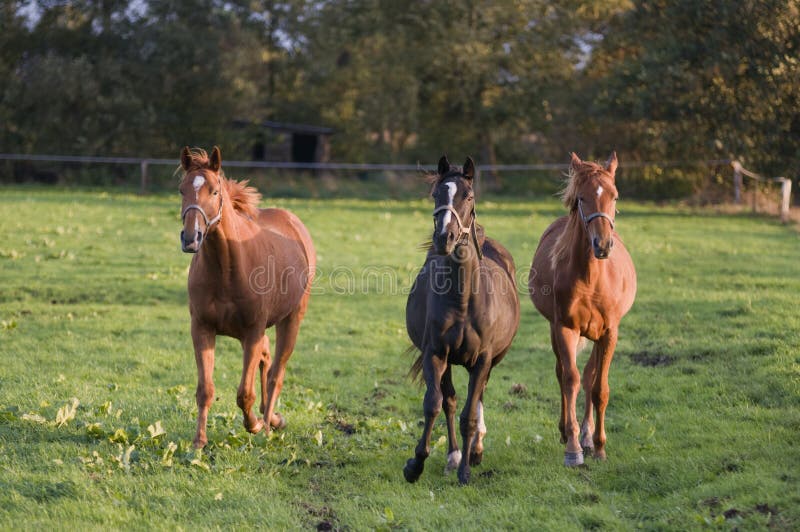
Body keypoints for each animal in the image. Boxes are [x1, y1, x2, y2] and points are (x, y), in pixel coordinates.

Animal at [178, 146, 315, 448]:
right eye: (182, 190)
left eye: (215, 191)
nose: (191, 238)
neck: (228, 269)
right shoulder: (202, 329)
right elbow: (205, 389)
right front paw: (199, 441)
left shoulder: (252, 331)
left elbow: (244, 393)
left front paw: (255, 425)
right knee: (266, 358)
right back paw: (272, 418)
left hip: (291, 320)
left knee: (276, 372)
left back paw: (268, 424)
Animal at [404, 155, 520, 485]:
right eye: (436, 194)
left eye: (468, 196)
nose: (445, 237)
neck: (463, 301)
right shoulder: (435, 354)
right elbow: (435, 404)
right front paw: (416, 464)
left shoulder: (482, 360)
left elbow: (470, 413)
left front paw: (466, 470)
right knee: (450, 400)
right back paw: (455, 455)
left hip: (490, 361)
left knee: (477, 399)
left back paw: (475, 451)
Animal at [528, 152, 636, 466]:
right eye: (581, 198)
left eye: (615, 195)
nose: (602, 245)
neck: (592, 279)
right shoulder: (565, 329)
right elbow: (570, 379)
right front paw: (573, 448)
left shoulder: (609, 333)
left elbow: (599, 388)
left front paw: (598, 446)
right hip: (558, 331)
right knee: (564, 372)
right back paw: (567, 432)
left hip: (596, 336)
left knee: (590, 377)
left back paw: (588, 436)